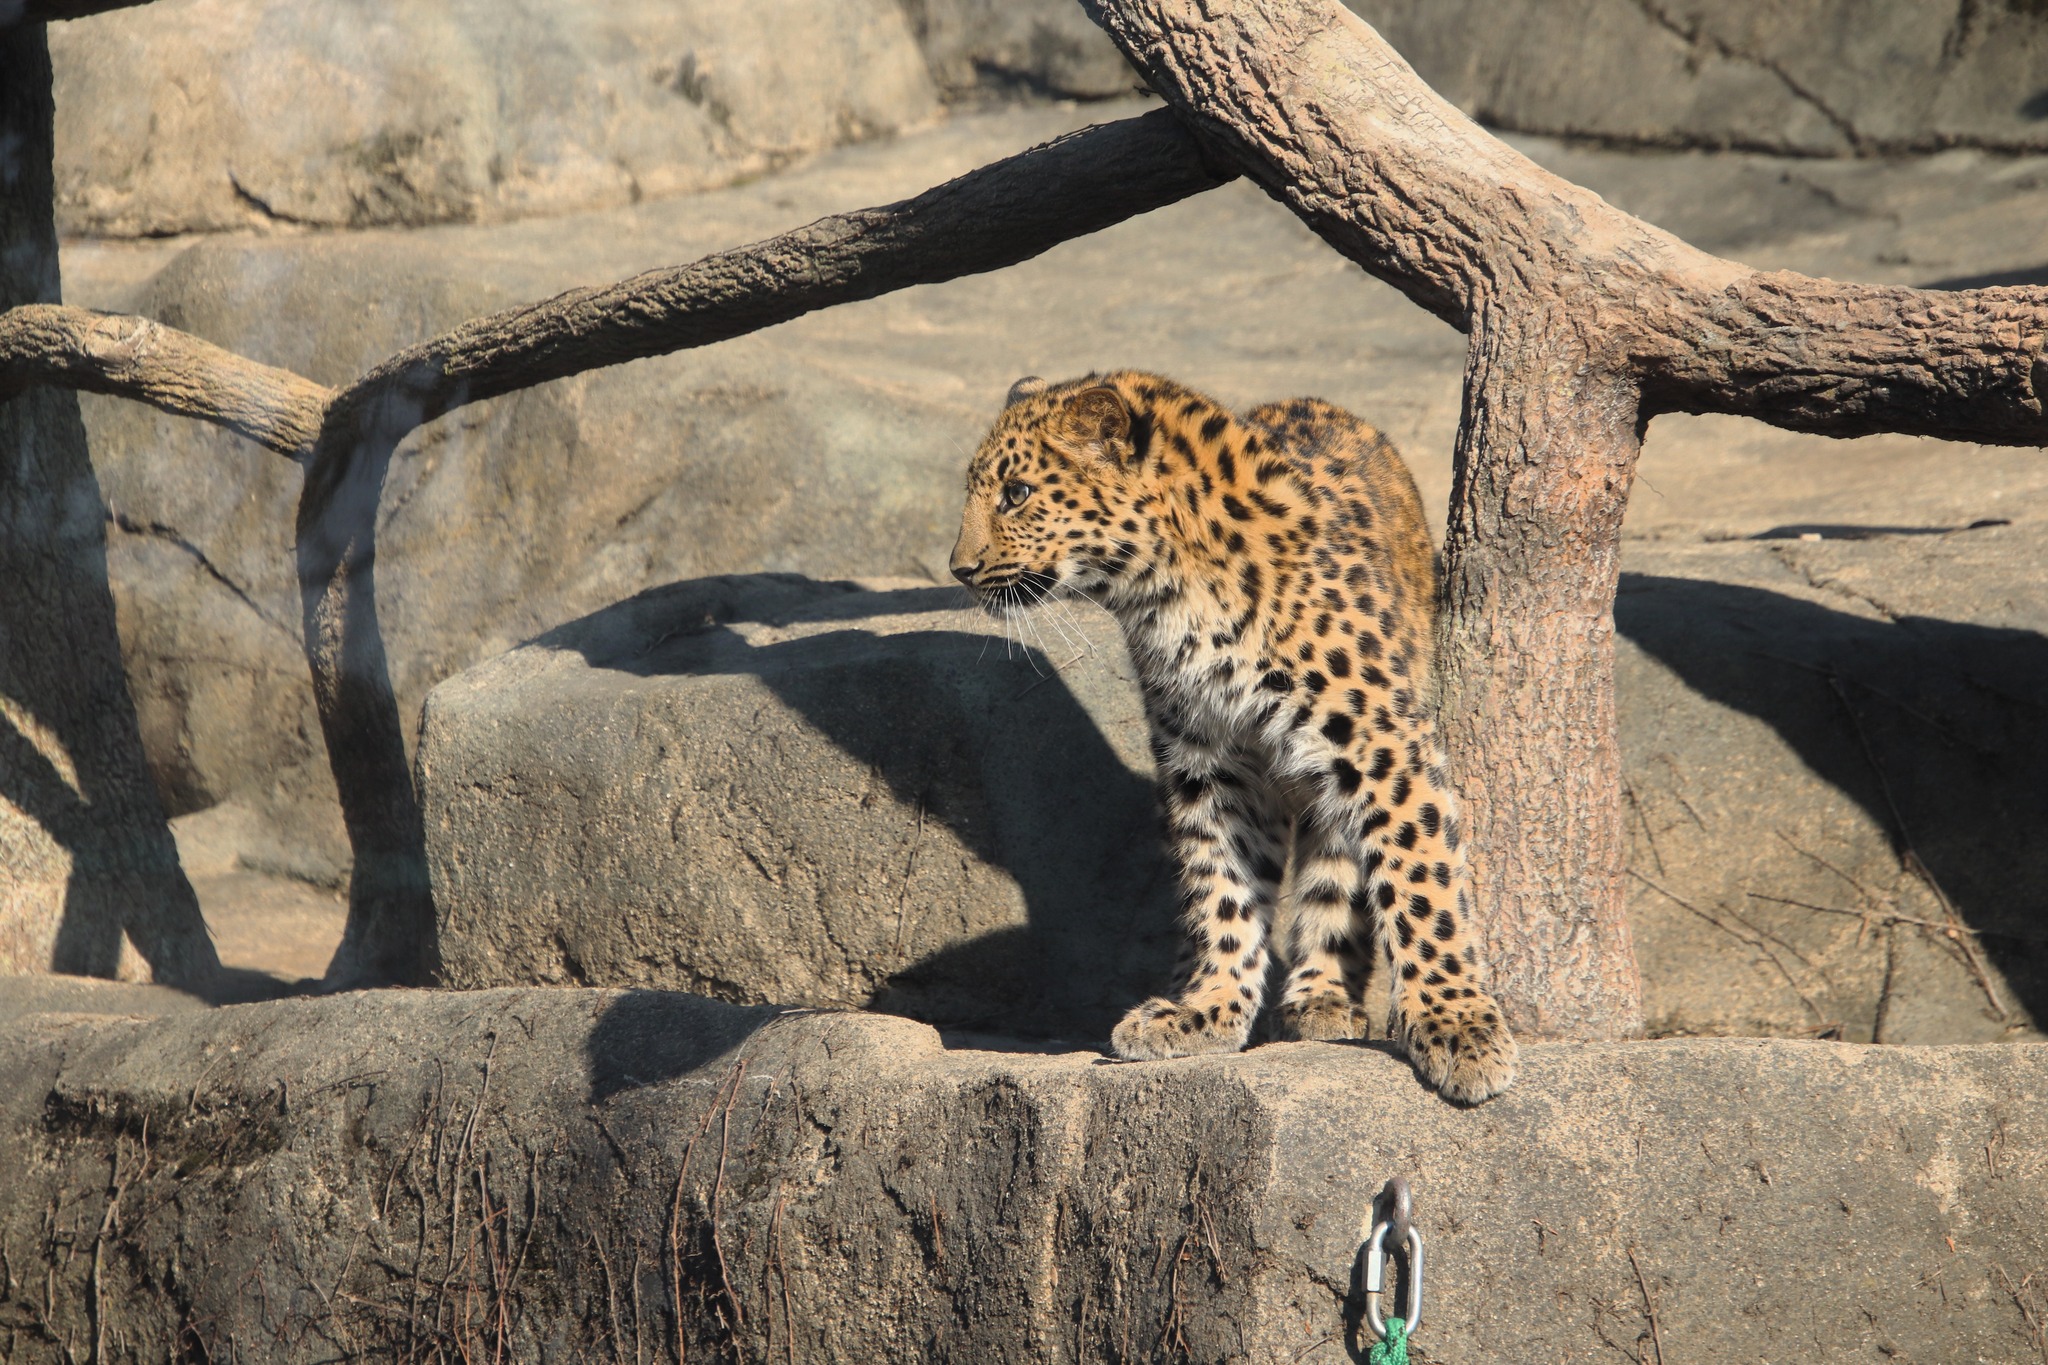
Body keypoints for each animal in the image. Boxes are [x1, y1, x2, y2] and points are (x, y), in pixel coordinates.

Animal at [949, 370, 1517, 1104]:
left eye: (1016, 494)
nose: (958, 569)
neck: (1169, 596)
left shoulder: (1379, 743)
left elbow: (1422, 882)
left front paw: (1459, 1028)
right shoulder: (1211, 762)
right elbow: (1222, 887)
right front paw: (1206, 1009)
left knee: (1340, 865)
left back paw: (1323, 993)